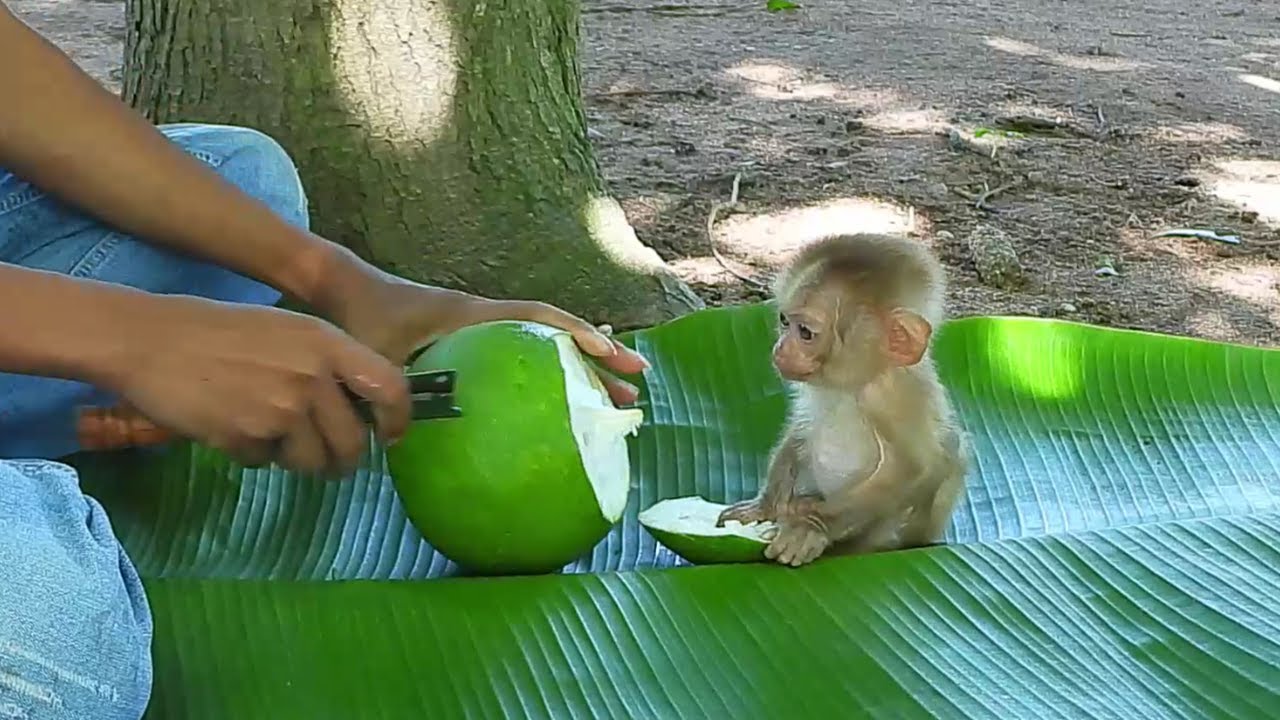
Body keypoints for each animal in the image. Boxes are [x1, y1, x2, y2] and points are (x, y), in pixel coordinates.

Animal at [716, 232, 970, 567]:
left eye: (806, 332)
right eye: (784, 321)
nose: (780, 349)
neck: (853, 384)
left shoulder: (890, 397)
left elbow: (914, 467)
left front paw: (812, 527)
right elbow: (802, 428)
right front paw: (766, 506)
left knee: (952, 451)